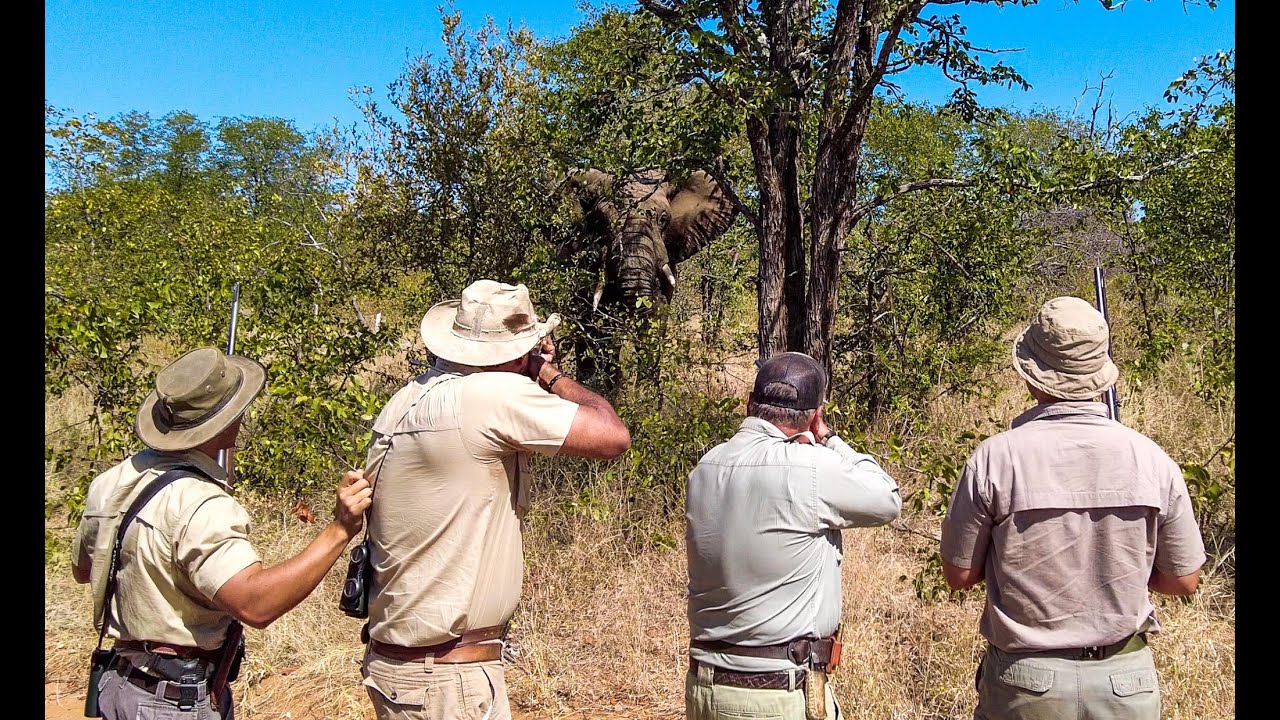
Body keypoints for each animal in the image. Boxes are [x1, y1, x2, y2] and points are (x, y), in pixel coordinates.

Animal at [555, 167, 738, 391]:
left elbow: (657, 312)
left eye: (663, 219)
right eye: (602, 221)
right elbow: (603, 319)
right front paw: (615, 392)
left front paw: (645, 394)